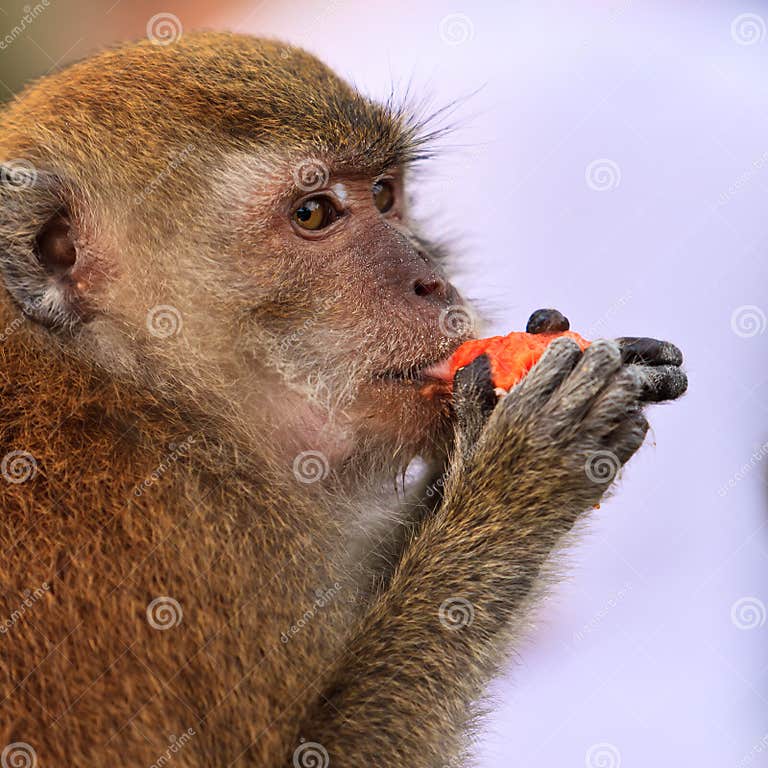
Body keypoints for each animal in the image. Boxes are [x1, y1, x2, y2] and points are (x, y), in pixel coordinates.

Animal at [0, 32, 687, 768]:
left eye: (384, 194)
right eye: (313, 213)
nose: (432, 280)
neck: (137, 393)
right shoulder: (183, 535)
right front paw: (522, 474)